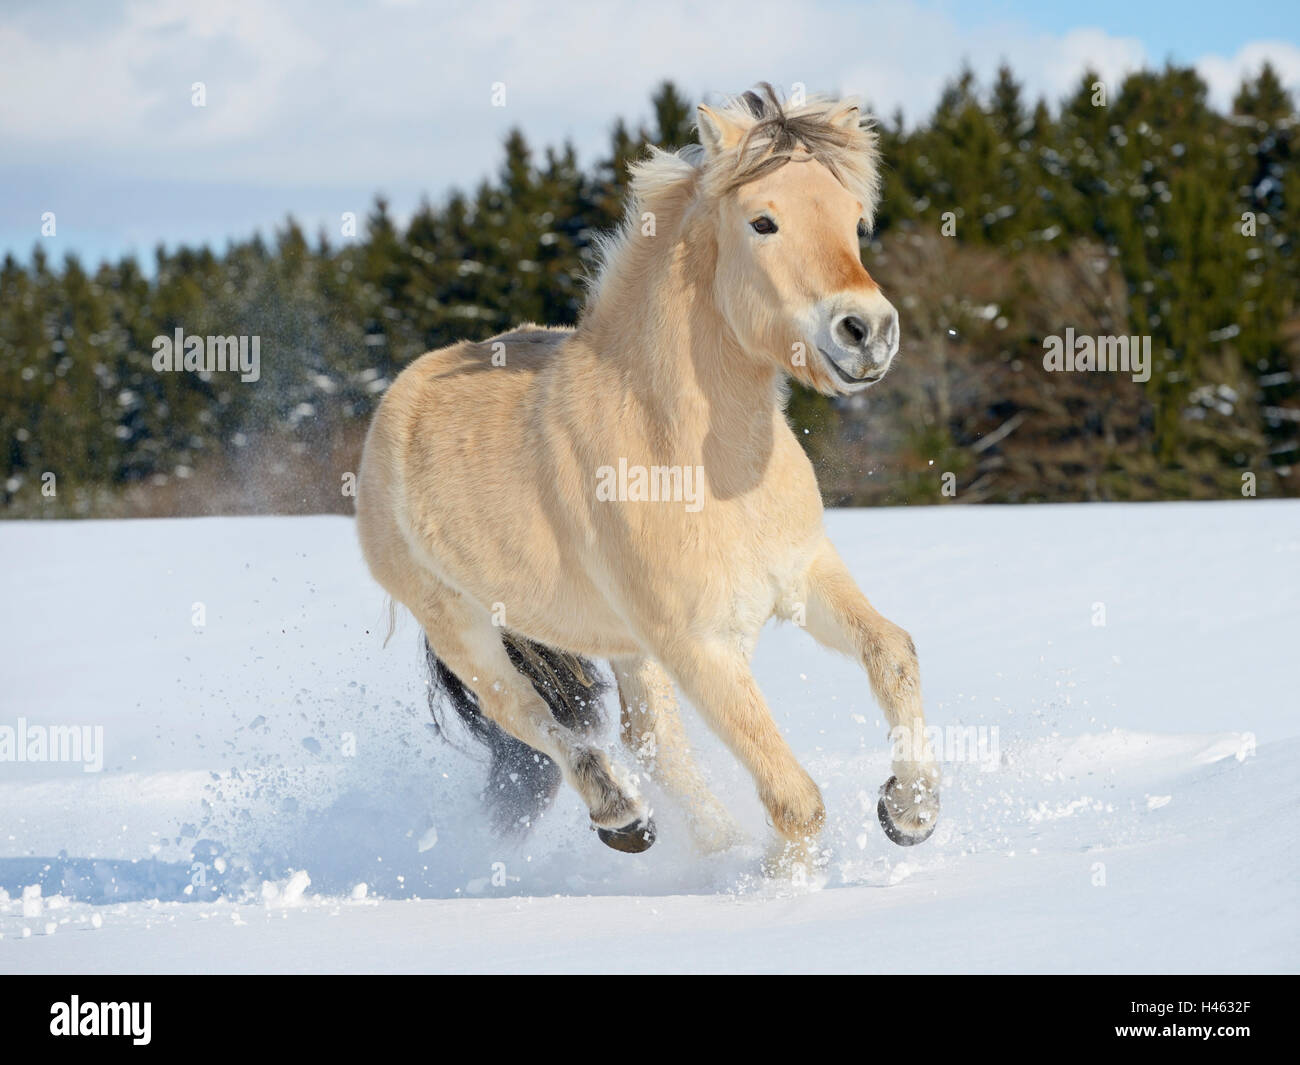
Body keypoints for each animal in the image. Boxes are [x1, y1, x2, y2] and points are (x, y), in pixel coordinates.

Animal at [356, 85, 939, 870]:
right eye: (763, 221)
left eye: (853, 219)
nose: (868, 331)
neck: (695, 460)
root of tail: (402, 395)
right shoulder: (698, 645)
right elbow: (794, 798)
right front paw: (781, 882)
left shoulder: (805, 574)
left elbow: (893, 653)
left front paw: (910, 811)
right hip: (463, 626)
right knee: (534, 717)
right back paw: (624, 818)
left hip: (625, 645)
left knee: (649, 742)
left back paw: (709, 846)